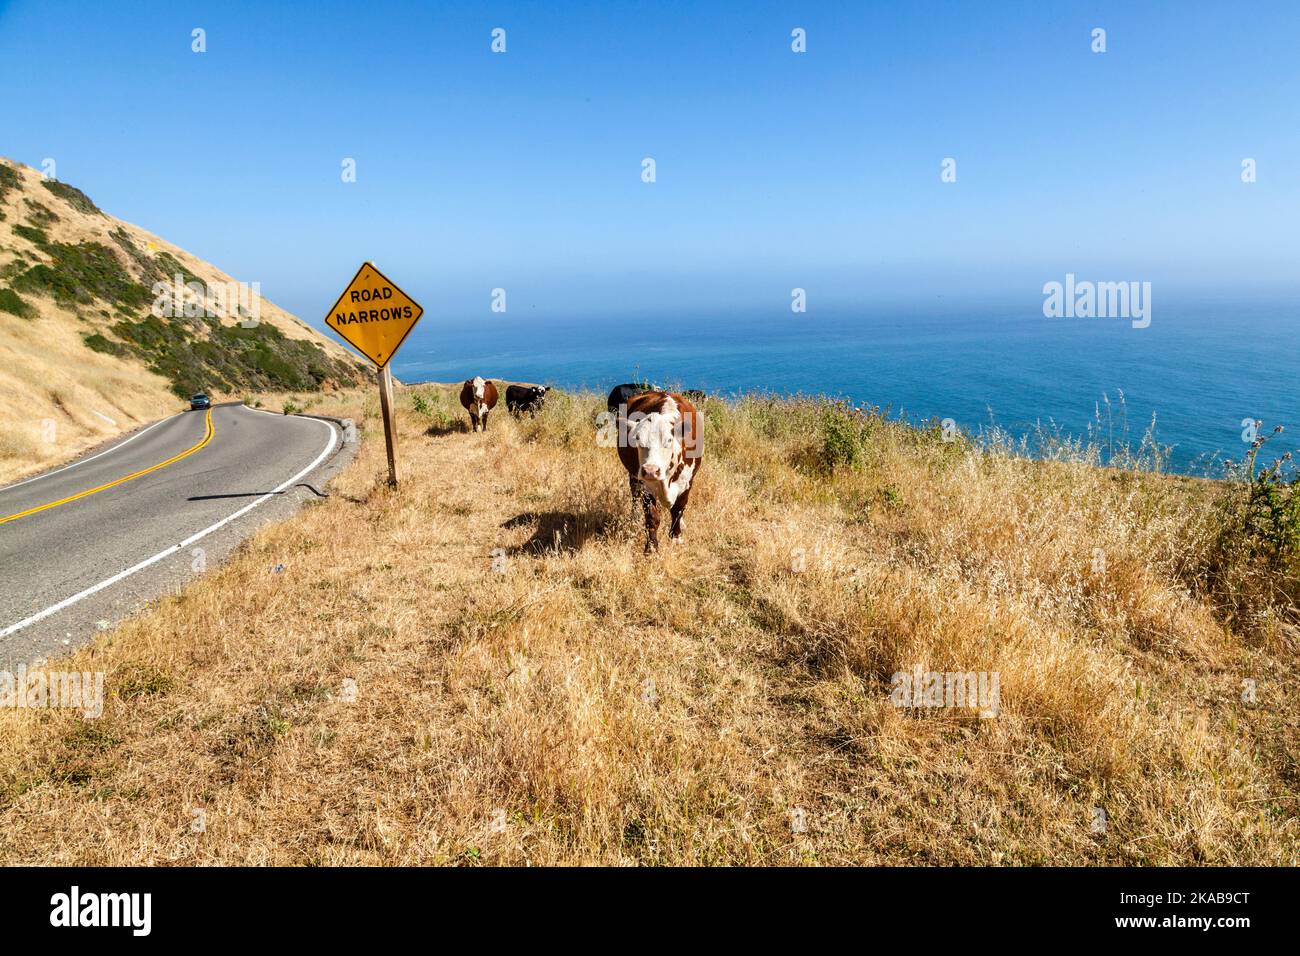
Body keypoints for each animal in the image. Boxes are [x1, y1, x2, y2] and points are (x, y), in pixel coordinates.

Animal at [616, 391, 703, 553]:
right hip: (634, 477)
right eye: (637, 439)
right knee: (634, 496)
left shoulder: (687, 482)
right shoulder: (646, 486)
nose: (651, 470)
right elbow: (652, 517)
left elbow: (678, 510)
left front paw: (676, 537)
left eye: (669, 440)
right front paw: (651, 547)